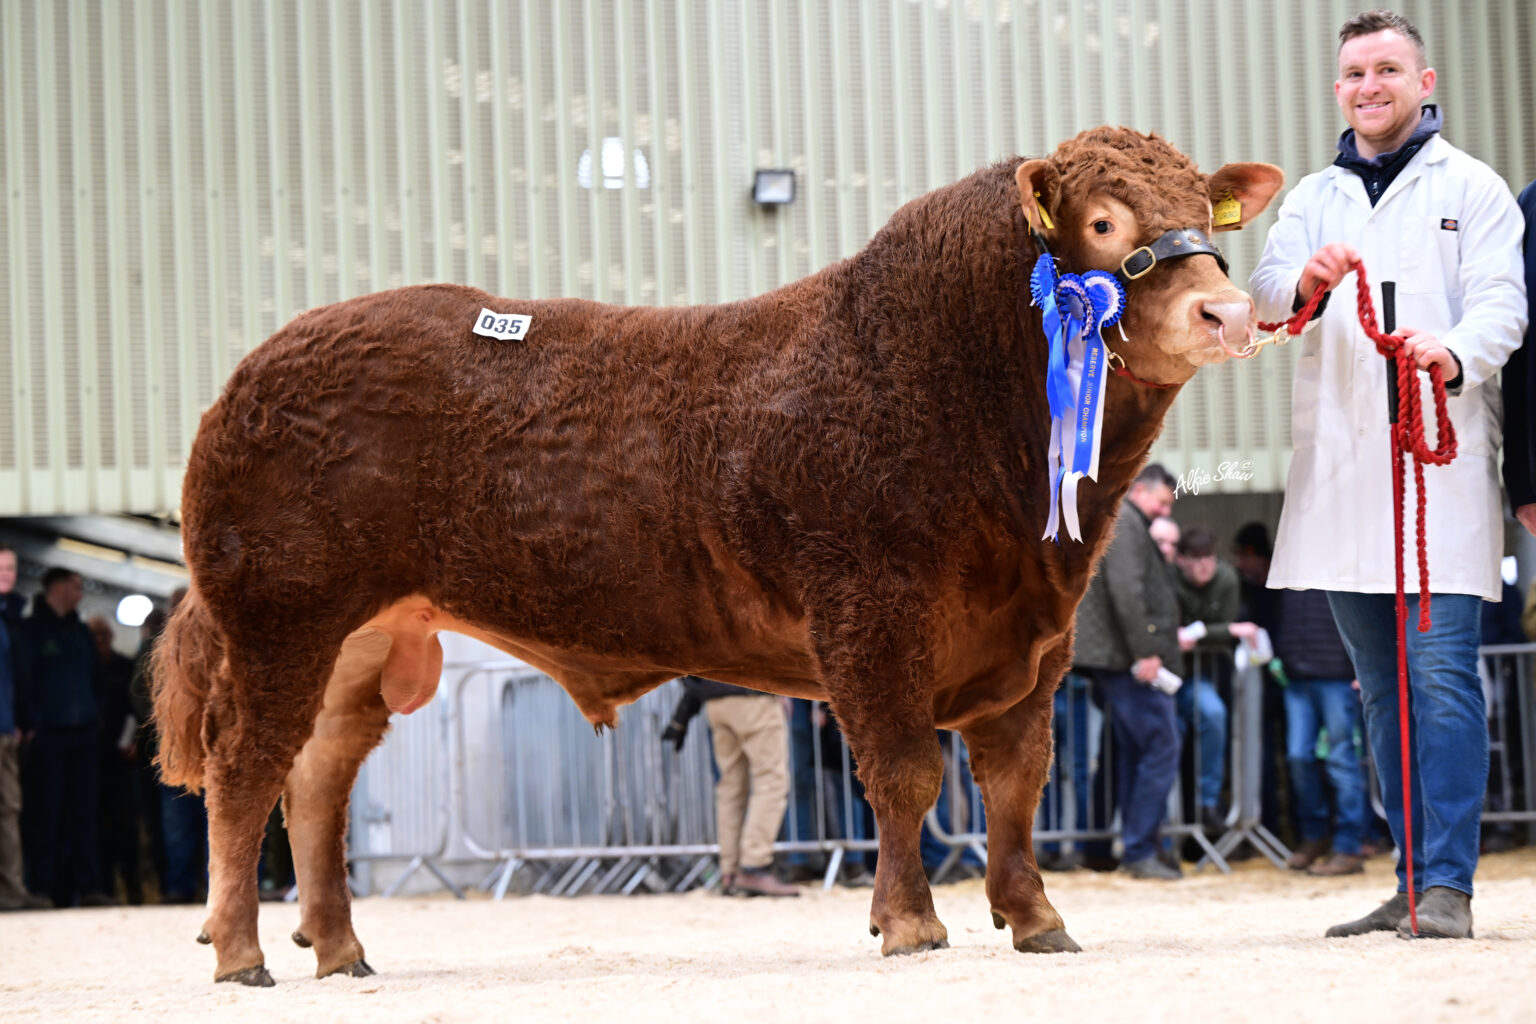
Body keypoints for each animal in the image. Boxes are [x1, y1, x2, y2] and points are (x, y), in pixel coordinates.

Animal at [151, 126, 1282, 985]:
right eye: (1104, 223)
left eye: (1205, 207)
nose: (1226, 310)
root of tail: (252, 372)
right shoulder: (872, 615)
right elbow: (907, 773)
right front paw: (912, 924)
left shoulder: (1034, 642)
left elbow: (1015, 783)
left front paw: (1038, 917)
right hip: (281, 620)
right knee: (247, 773)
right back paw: (243, 953)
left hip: (362, 643)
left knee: (317, 782)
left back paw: (339, 948)